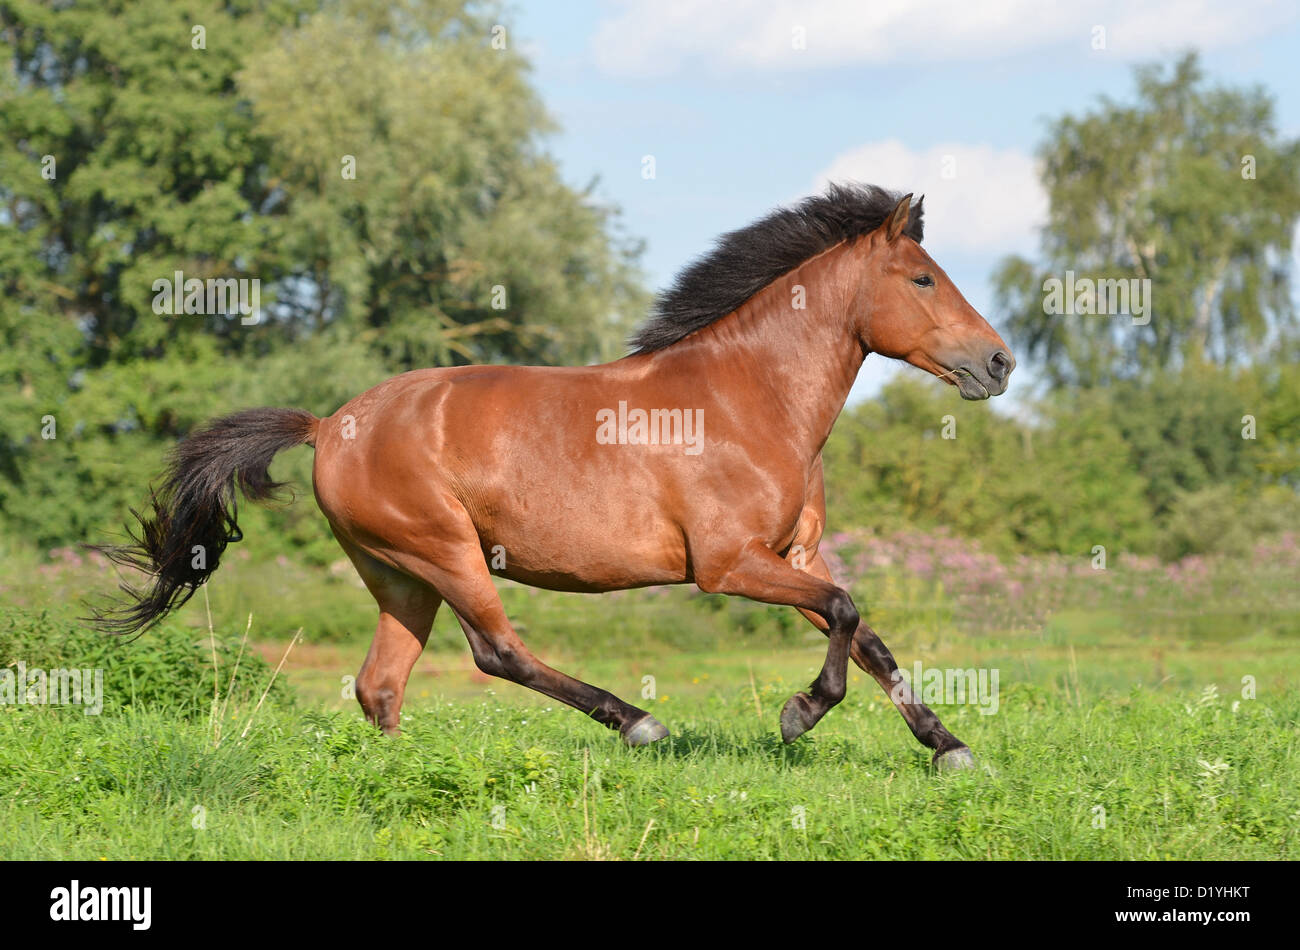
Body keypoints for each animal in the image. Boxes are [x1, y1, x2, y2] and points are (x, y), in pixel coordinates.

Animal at [92, 183, 1014, 769]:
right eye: (923, 277)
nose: (999, 363)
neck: (750, 397)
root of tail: (328, 427)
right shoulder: (730, 565)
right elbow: (846, 615)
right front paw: (799, 715)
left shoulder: (793, 556)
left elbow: (869, 636)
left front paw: (950, 748)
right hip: (445, 553)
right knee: (497, 652)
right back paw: (638, 725)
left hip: (399, 577)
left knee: (379, 684)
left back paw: (399, 774)